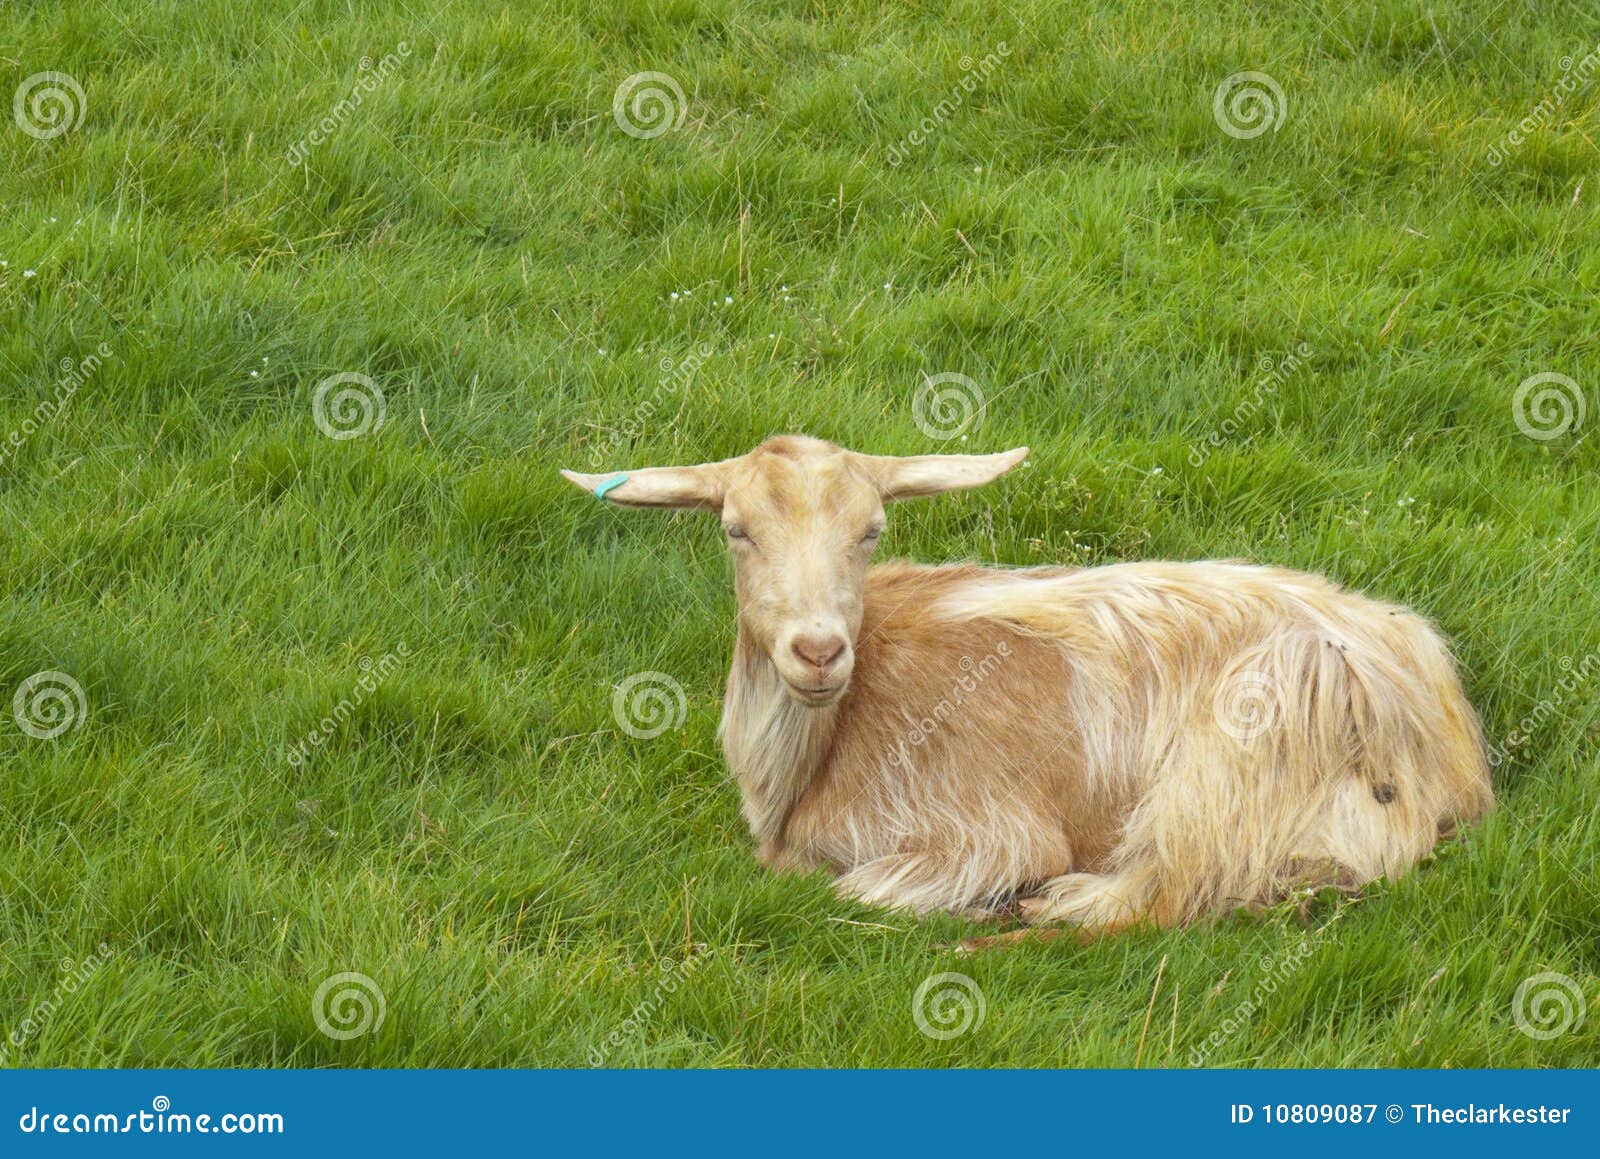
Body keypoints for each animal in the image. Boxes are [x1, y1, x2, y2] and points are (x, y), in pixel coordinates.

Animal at [563, 436, 1494, 936]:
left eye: (871, 529)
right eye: (735, 530)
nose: (819, 650)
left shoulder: (987, 827)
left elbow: (851, 886)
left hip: (1228, 764)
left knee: (1160, 893)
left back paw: (1048, 905)